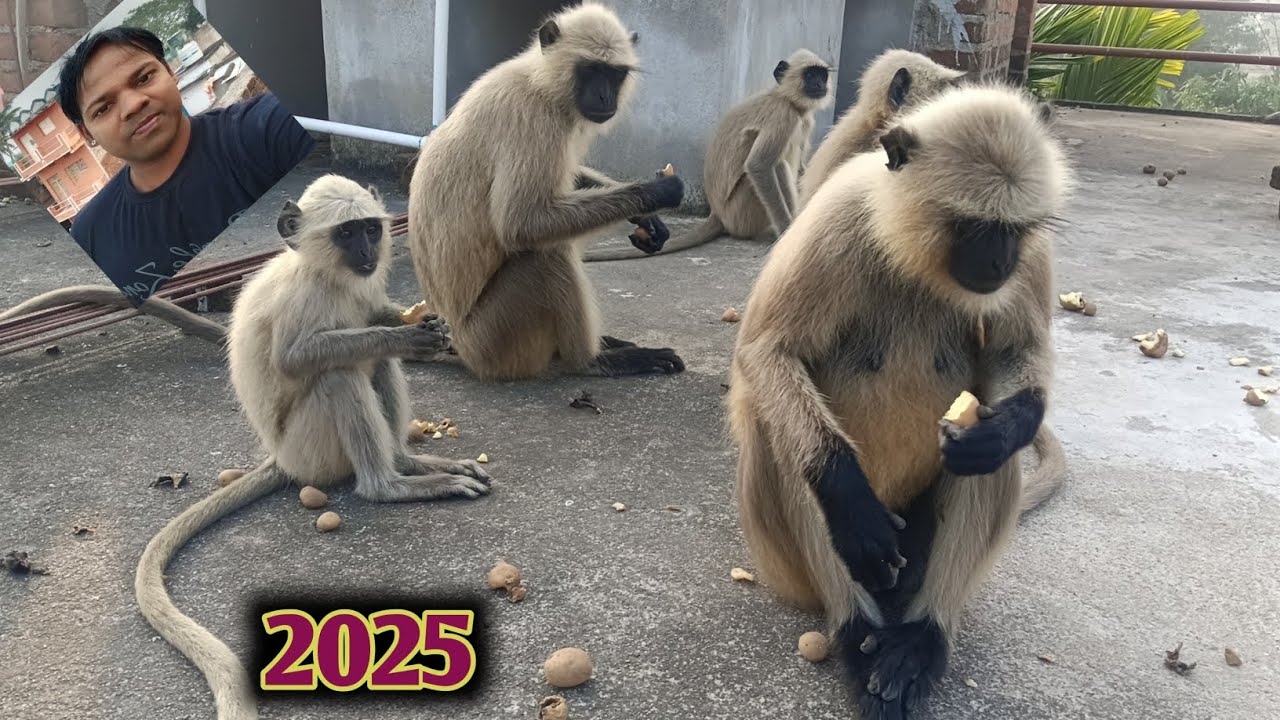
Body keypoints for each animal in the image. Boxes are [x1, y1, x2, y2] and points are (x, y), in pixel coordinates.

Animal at [134, 174, 493, 720]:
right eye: (346, 233)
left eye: (369, 229)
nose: (366, 251)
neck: (323, 272)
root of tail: (280, 459)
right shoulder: (302, 297)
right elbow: (297, 359)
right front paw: (405, 335)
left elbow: (374, 314)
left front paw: (424, 323)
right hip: (311, 449)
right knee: (340, 372)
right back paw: (389, 486)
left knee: (372, 364)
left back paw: (410, 463)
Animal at [406, 2, 687, 382]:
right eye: (591, 70)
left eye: (614, 74)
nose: (604, 96)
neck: (540, 81)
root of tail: (457, 341)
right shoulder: (531, 119)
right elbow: (521, 224)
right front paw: (658, 193)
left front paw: (647, 218)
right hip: (494, 342)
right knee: (546, 252)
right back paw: (591, 361)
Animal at [582, 48, 834, 262]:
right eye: (810, 75)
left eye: (822, 76)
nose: (819, 84)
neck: (785, 98)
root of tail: (718, 214)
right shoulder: (782, 114)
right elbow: (759, 166)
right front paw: (785, 234)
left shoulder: (804, 119)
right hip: (740, 215)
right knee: (777, 165)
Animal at [726, 83, 1072, 719]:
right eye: (972, 227)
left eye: (1013, 228)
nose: (998, 262)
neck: (915, 255)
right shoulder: (837, 216)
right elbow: (768, 354)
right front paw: (849, 503)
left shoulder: (1033, 254)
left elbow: (1014, 359)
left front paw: (1006, 428)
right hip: (789, 565)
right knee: (777, 435)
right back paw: (858, 635)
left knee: (984, 458)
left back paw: (920, 640)